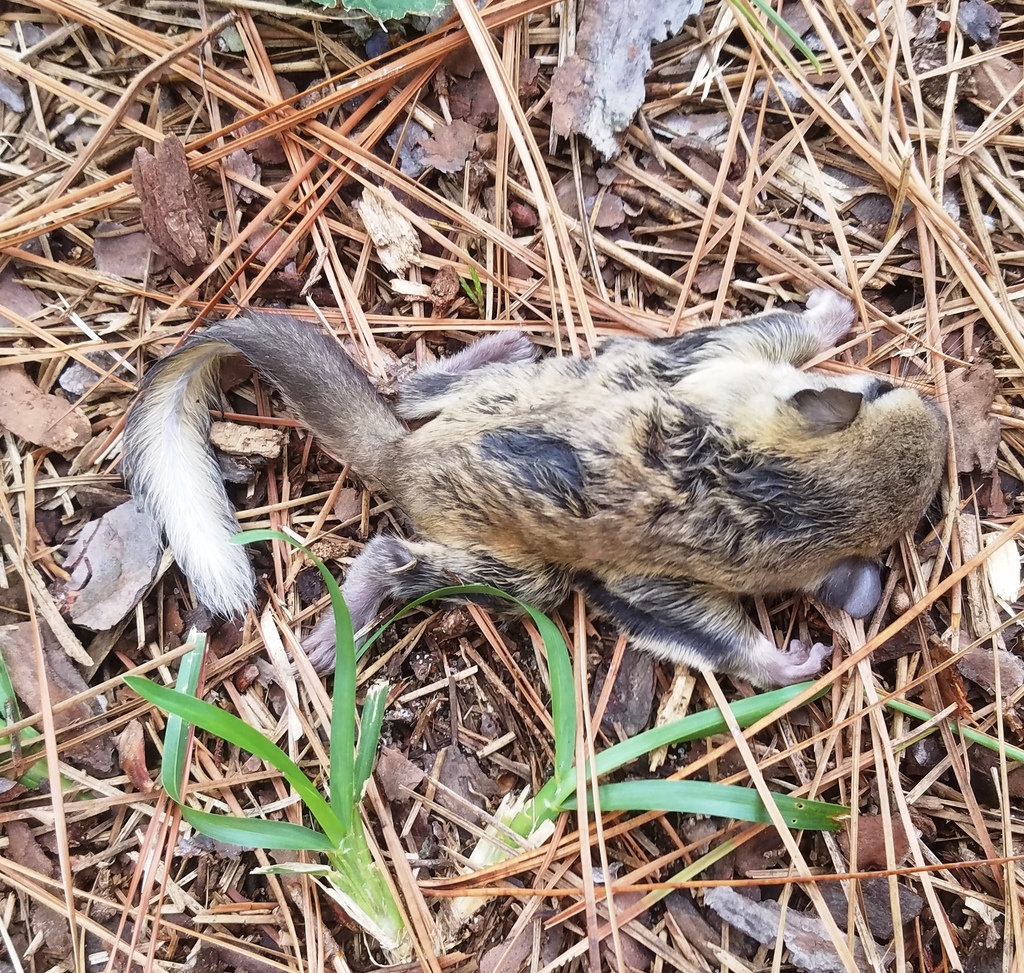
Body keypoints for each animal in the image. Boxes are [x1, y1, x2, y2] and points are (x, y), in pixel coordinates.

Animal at [123, 290, 947, 686]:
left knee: (414, 387)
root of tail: (402, 459)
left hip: (515, 391)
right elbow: (713, 634)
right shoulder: (720, 369)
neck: (782, 487)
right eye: (881, 387)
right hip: (521, 572)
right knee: (391, 553)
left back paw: (501, 344)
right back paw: (343, 627)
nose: (940, 415)